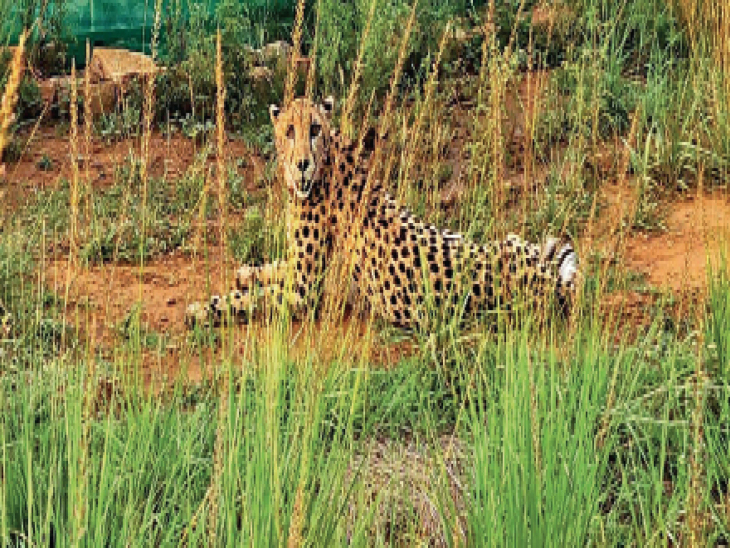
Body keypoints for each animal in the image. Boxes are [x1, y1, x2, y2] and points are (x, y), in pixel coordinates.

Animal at [185, 96, 579, 330]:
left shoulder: (303, 292)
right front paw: (247, 272)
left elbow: (249, 299)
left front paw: (203, 308)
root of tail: (550, 280)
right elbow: (275, 268)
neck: (330, 158)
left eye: (314, 129)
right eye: (290, 131)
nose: (301, 164)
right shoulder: (304, 270)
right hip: (510, 240)